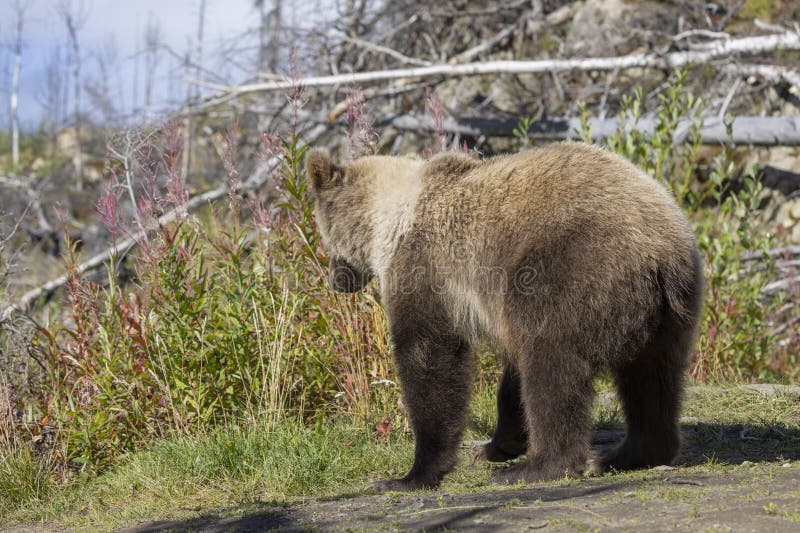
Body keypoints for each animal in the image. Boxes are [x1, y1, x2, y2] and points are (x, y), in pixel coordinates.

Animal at [305, 142, 703, 491]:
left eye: (324, 234)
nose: (336, 280)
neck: (394, 219)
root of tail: (659, 254)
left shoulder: (427, 269)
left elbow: (429, 357)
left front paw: (411, 474)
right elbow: (510, 373)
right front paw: (496, 445)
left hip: (574, 274)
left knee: (552, 369)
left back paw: (539, 467)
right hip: (671, 314)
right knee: (652, 379)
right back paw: (629, 453)